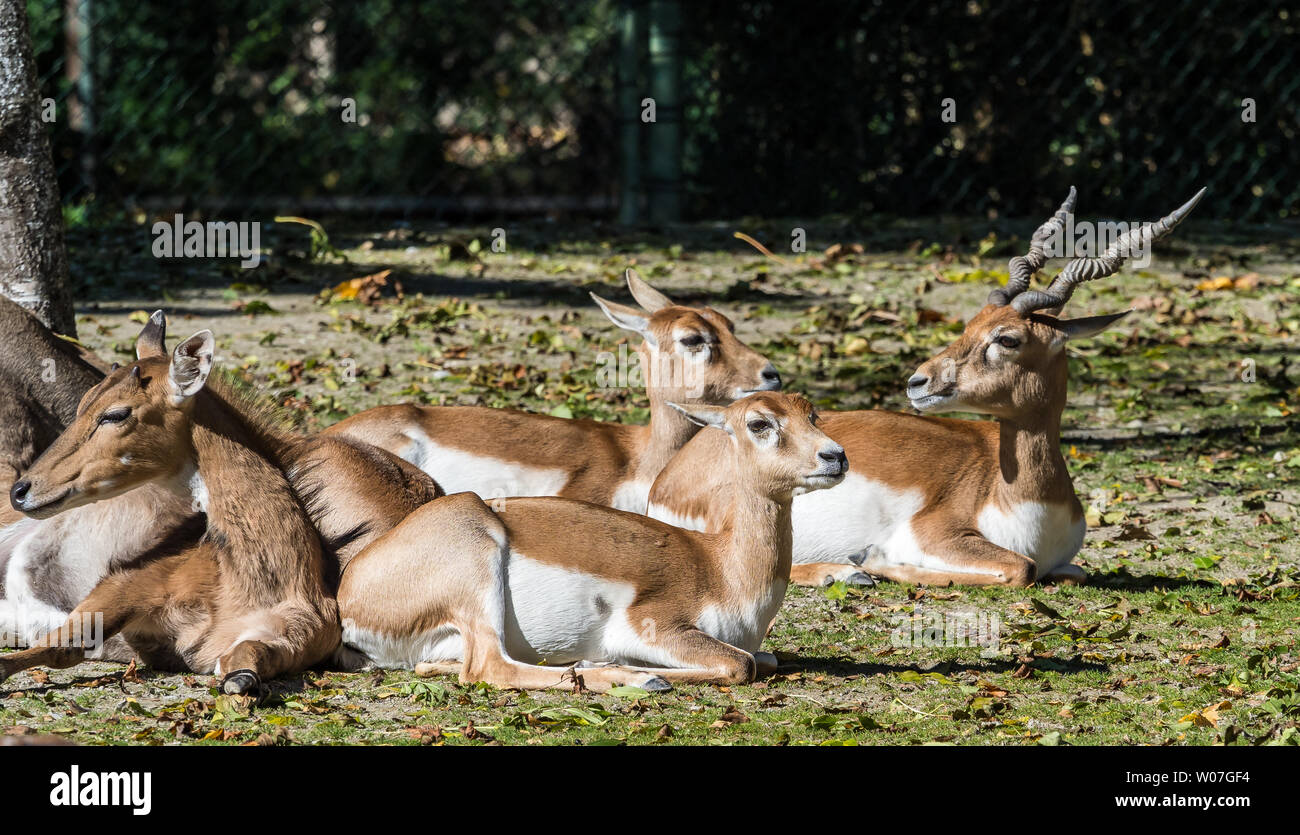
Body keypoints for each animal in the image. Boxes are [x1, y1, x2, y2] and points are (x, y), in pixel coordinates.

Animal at [1, 317, 344, 695]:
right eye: (82, 405)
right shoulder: (126, 583)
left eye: (115, 414)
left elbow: (245, 664)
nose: (21, 490)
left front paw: (240, 679)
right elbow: (63, 645)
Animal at [332, 392, 847, 691]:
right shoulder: (654, 624)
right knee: (490, 669)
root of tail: (350, 588)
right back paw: (636, 678)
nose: (835, 456)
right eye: (760, 423)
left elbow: (767, 657)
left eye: (813, 415)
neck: (721, 565)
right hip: (478, 569)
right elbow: (741, 664)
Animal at [650, 187, 1204, 587]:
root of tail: (670, 475)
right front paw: (875, 560)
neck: (1026, 502)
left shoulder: (1066, 562)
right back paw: (846, 573)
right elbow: (1020, 569)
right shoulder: (939, 533)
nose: (919, 381)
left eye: (1006, 337)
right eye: (971, 322)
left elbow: (1072, 571)